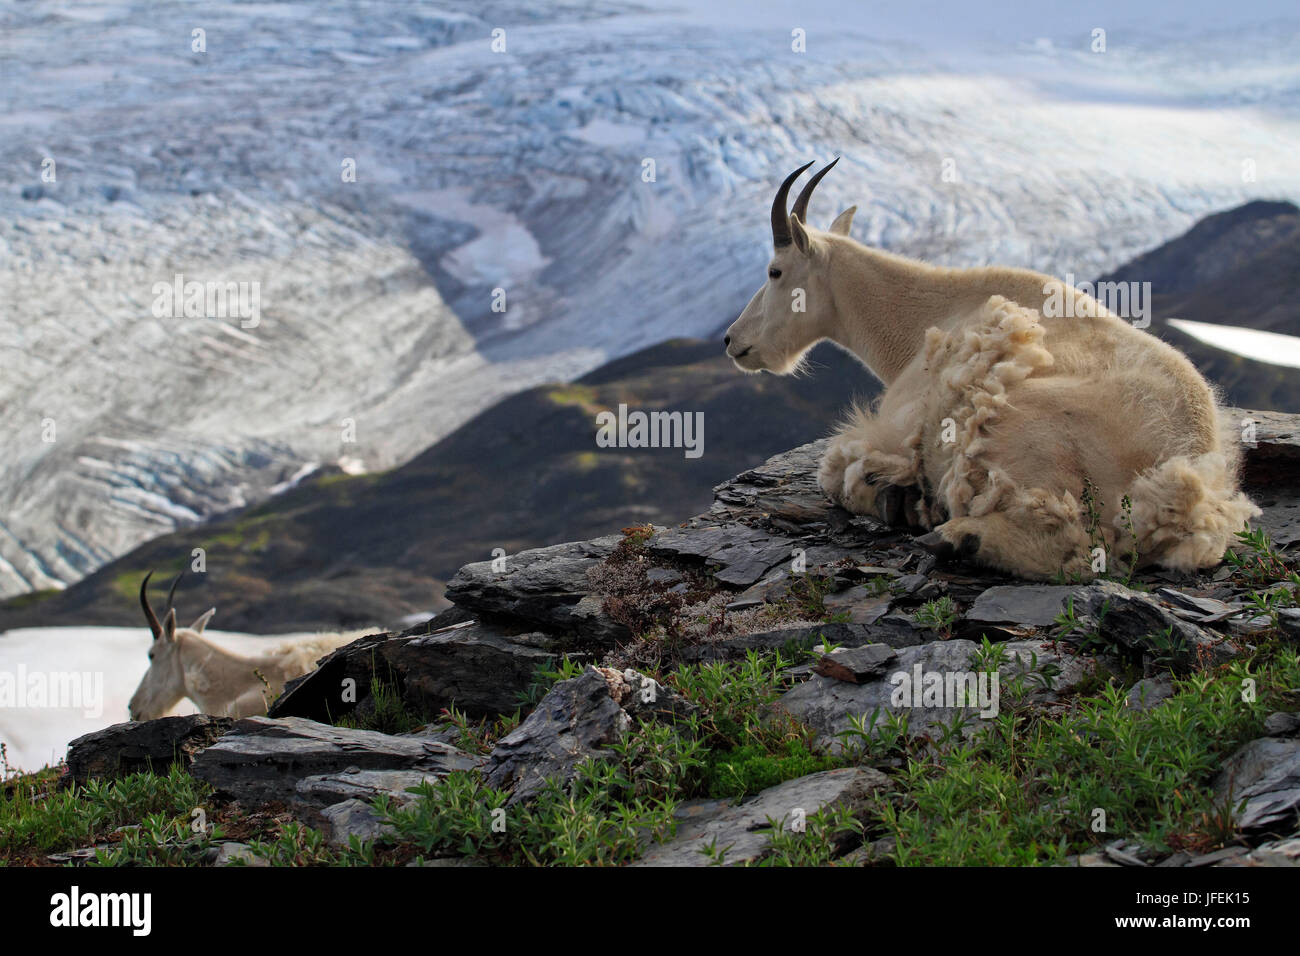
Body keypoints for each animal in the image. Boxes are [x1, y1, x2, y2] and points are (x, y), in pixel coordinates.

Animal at [724, 160, 1260, 580]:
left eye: (774, 271)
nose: (732, 341)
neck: (919, 319)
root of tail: (1182, 480)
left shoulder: (899, 426)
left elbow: (835, 474)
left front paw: (890, 495)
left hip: (1026, 435)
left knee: (1074, 545)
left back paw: (957, 537)